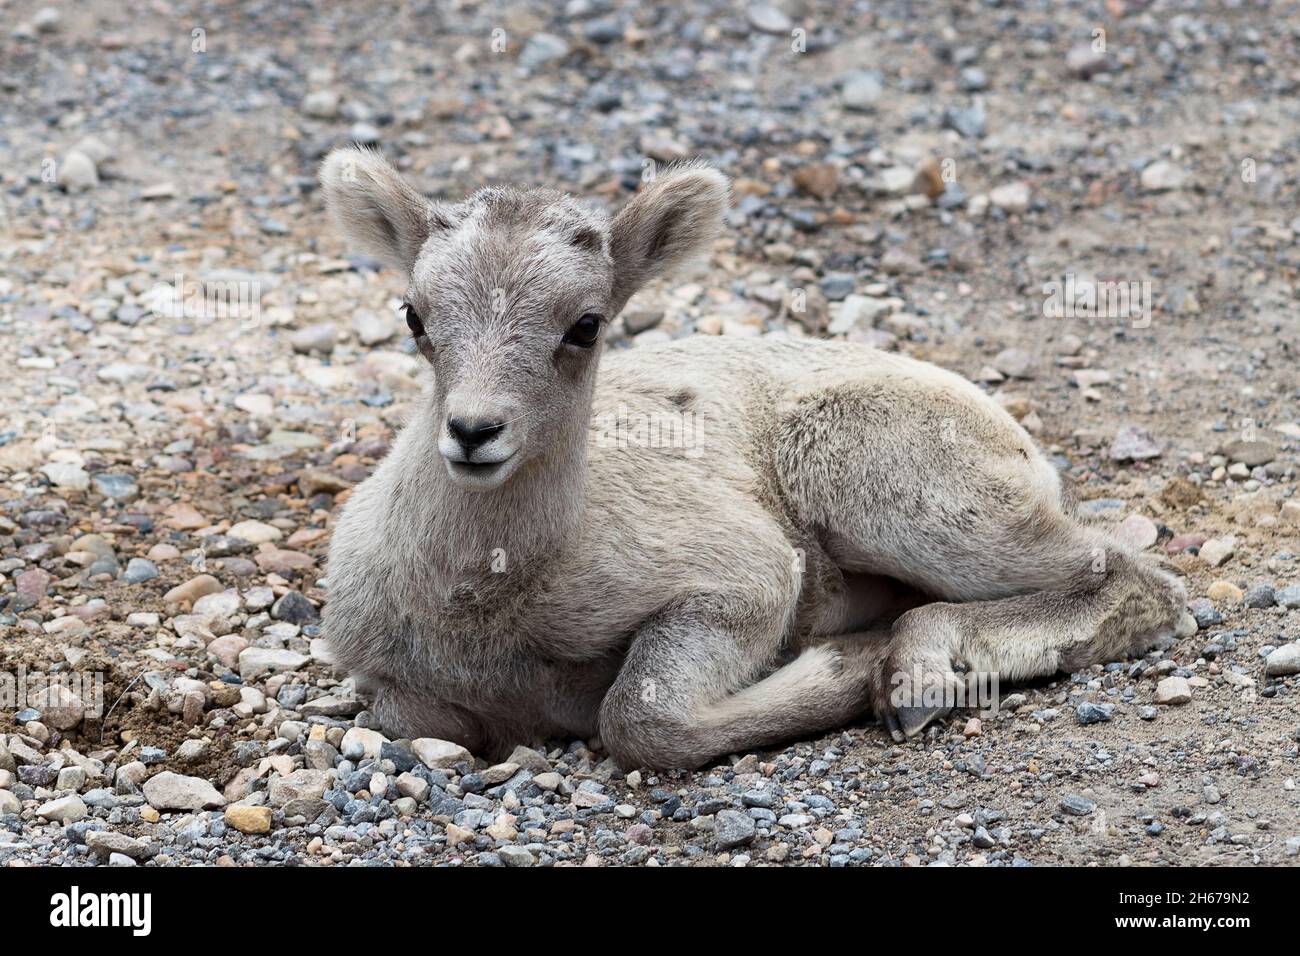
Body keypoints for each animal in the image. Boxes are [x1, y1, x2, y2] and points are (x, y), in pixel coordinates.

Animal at [318, 146, 1194, 770]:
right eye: (414, 315)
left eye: (586, 325)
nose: (474, 431)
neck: (487, 605)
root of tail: (1016, 439)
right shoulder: (395, 693)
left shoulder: (746, 579)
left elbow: (640, 719)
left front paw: (845, 666)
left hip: (884, 484)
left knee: (1125, 576)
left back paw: (911, 669)